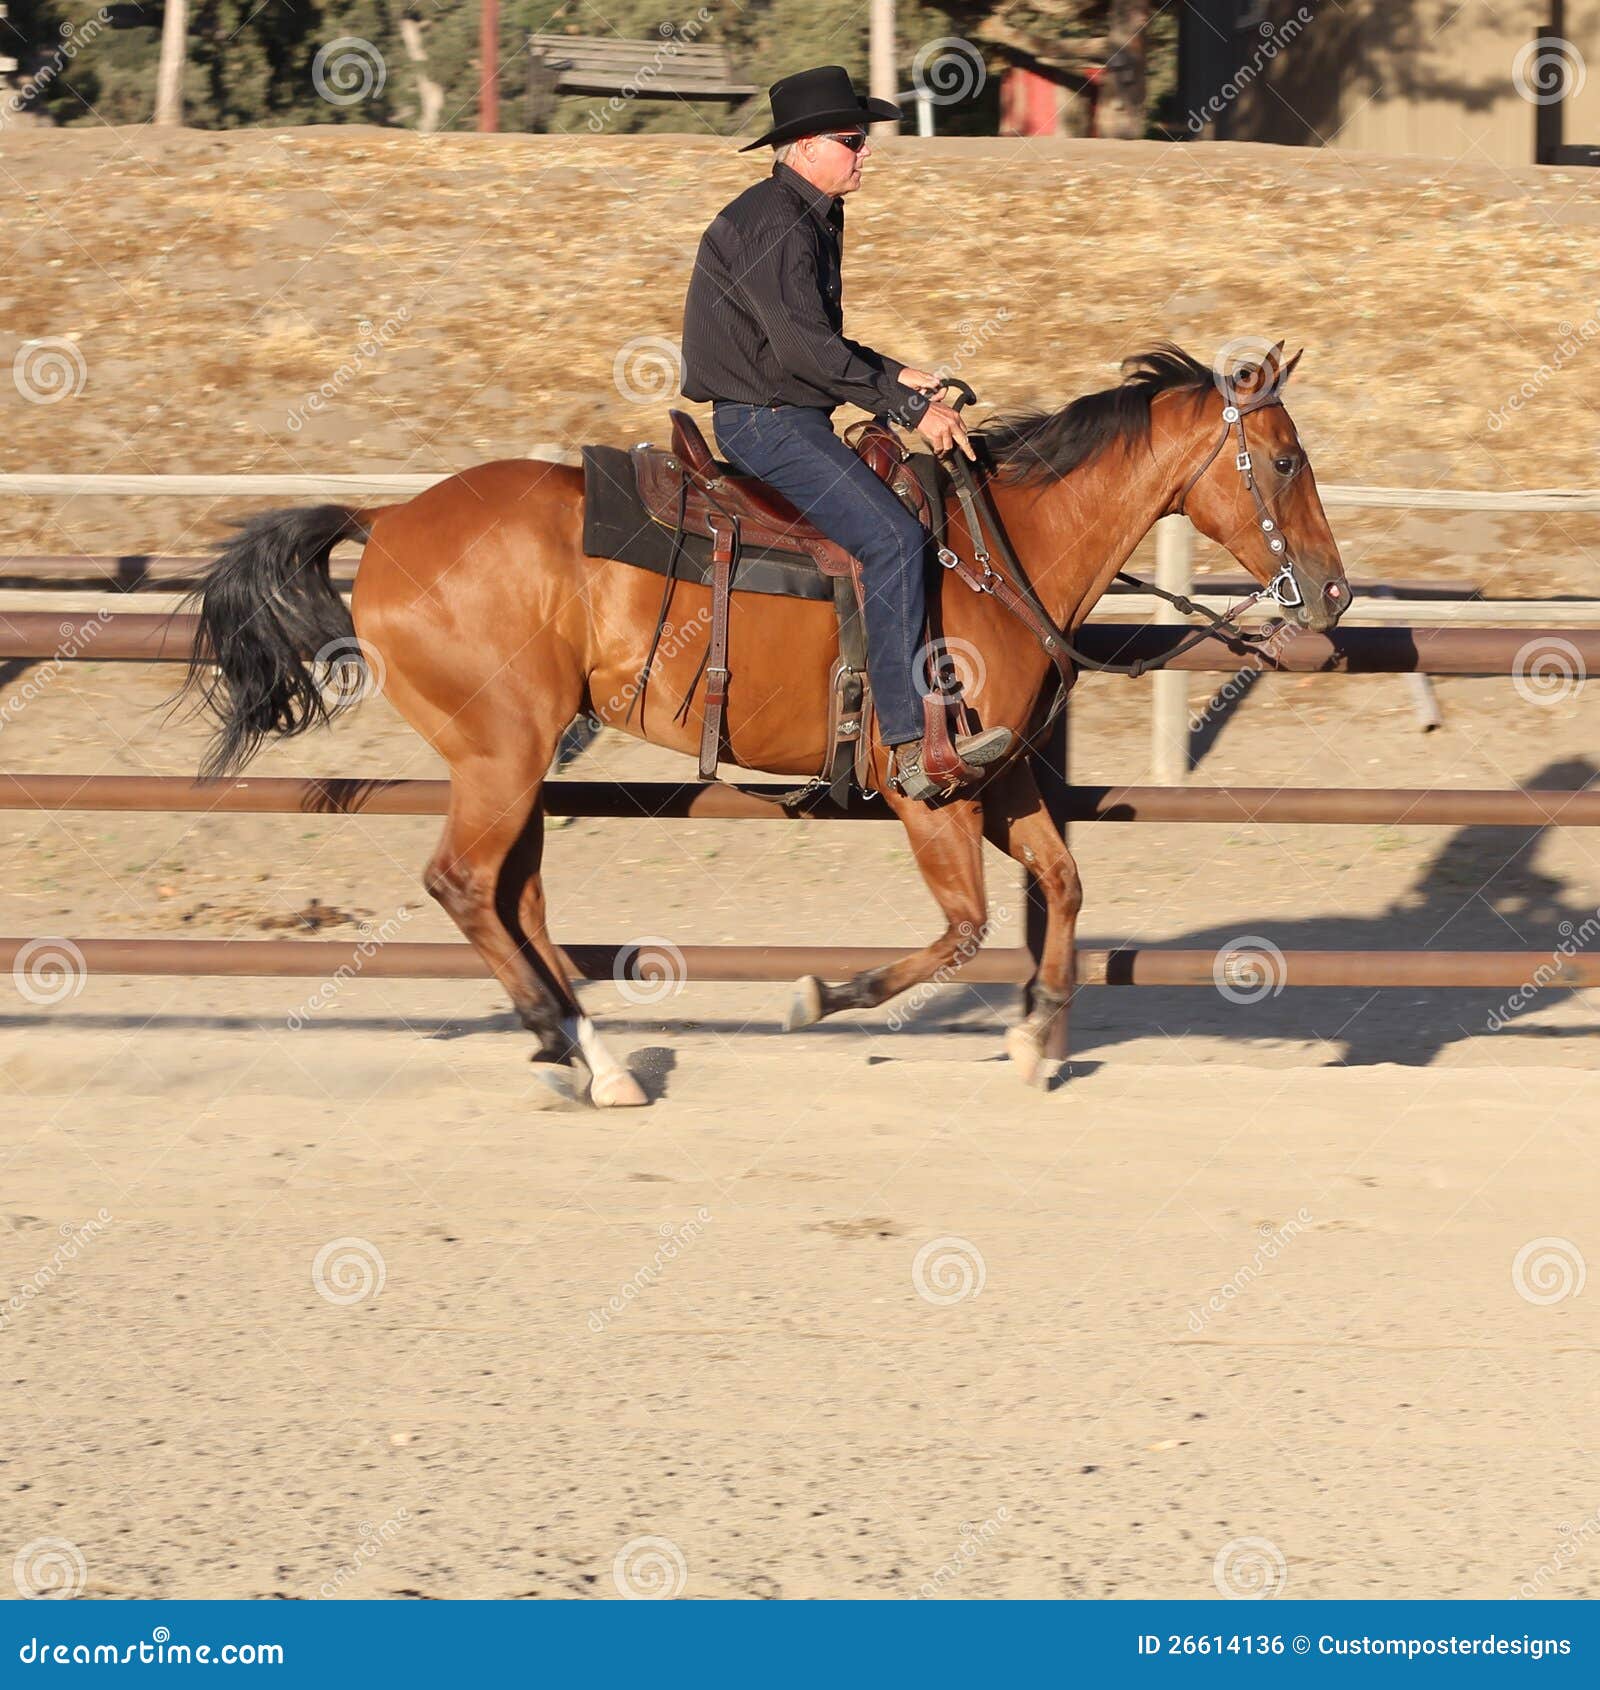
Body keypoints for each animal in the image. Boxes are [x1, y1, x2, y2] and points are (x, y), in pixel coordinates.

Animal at [181, 342, 1349, 1107]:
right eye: (1287, 461)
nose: (1332, 592)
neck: (992, 557)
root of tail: (386, 521)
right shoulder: (926, 792)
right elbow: (963, 927)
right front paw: (817, 995)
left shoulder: (1000, 776)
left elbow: (1059, 887)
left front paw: (1036, 1040)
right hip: (501, 754)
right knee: (466, 885)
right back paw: (576, 1053)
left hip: (507, 763)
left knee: (517, 899)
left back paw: (593, 1057)